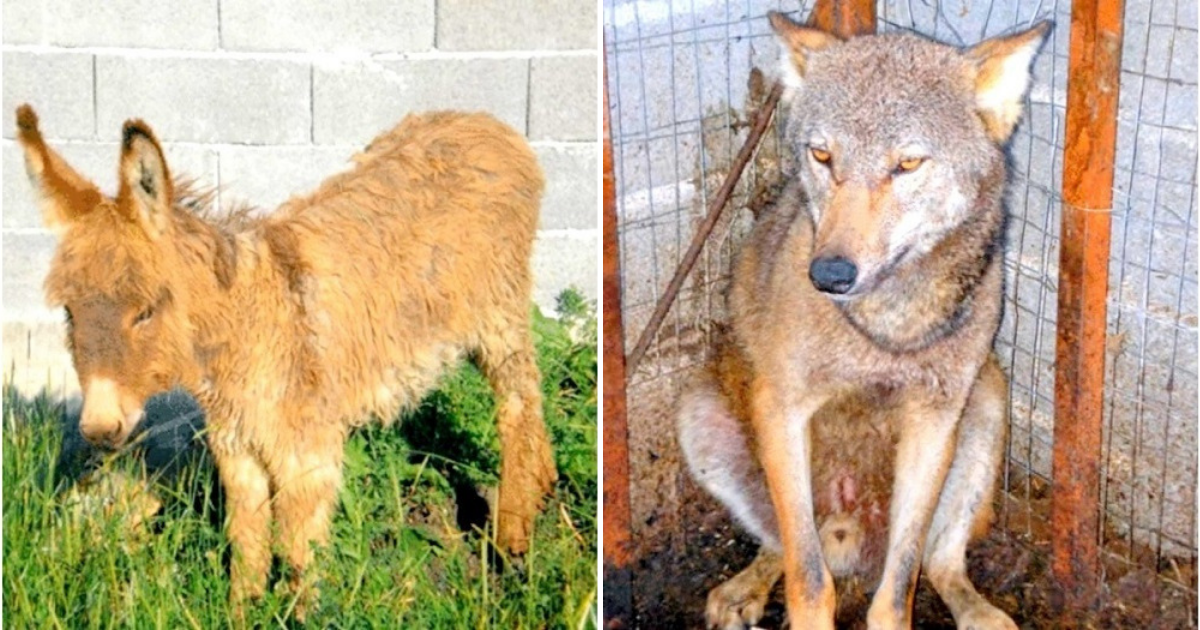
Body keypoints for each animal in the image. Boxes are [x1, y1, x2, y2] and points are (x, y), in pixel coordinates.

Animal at [676, 12, 1050, 630]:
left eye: (907, 163)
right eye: (823, 156)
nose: (829, 273)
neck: (888, 329)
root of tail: (850, 542)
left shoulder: (934, 422)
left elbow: (897, 592)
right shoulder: (782, 408)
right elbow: (808, 581)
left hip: (988, 401)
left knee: (940, 564)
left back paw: (980, 614)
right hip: (700, 415)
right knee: (782, 547)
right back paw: (743, 591)